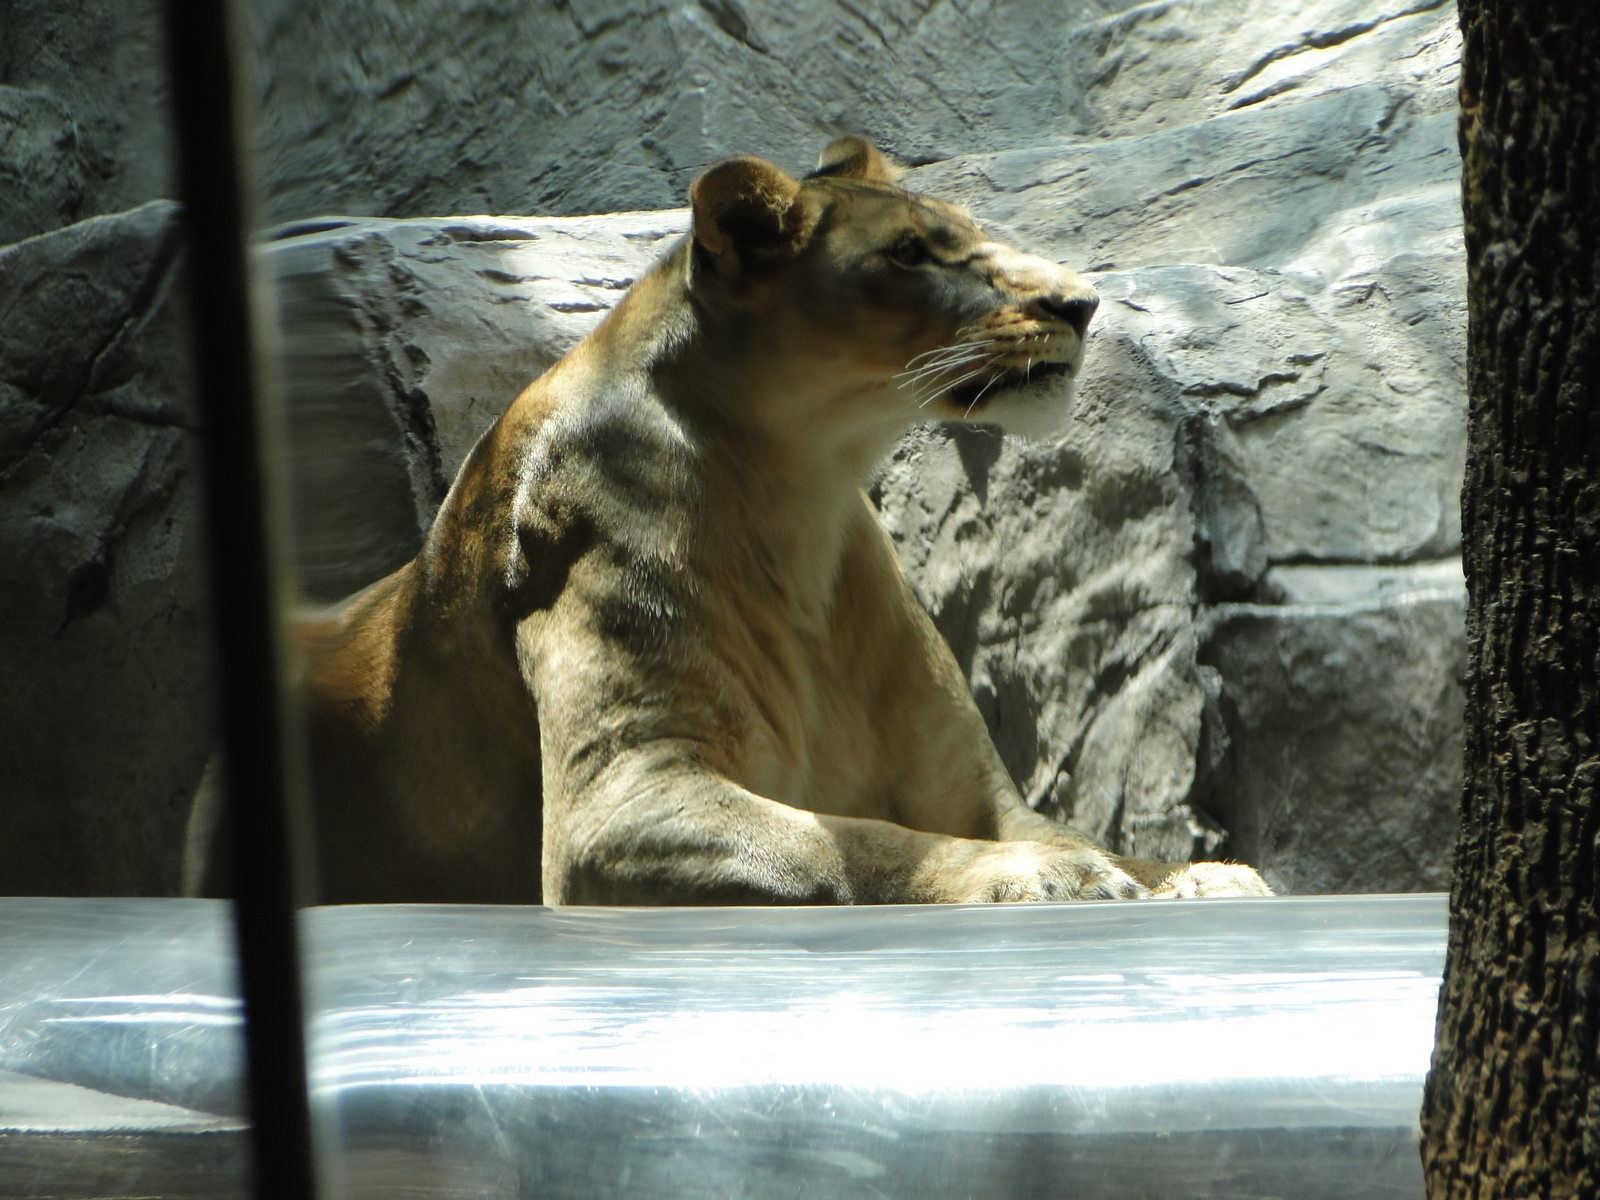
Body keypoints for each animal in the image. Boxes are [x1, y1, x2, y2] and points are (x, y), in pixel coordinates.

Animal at [186, 137, 1270, 905]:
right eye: (909, 254)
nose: (1082, 304)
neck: (806, 494)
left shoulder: (977, 792)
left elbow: (1066, 829)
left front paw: (1198, 877)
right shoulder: (623, 802)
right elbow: (853, 846)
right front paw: (1050, 878)